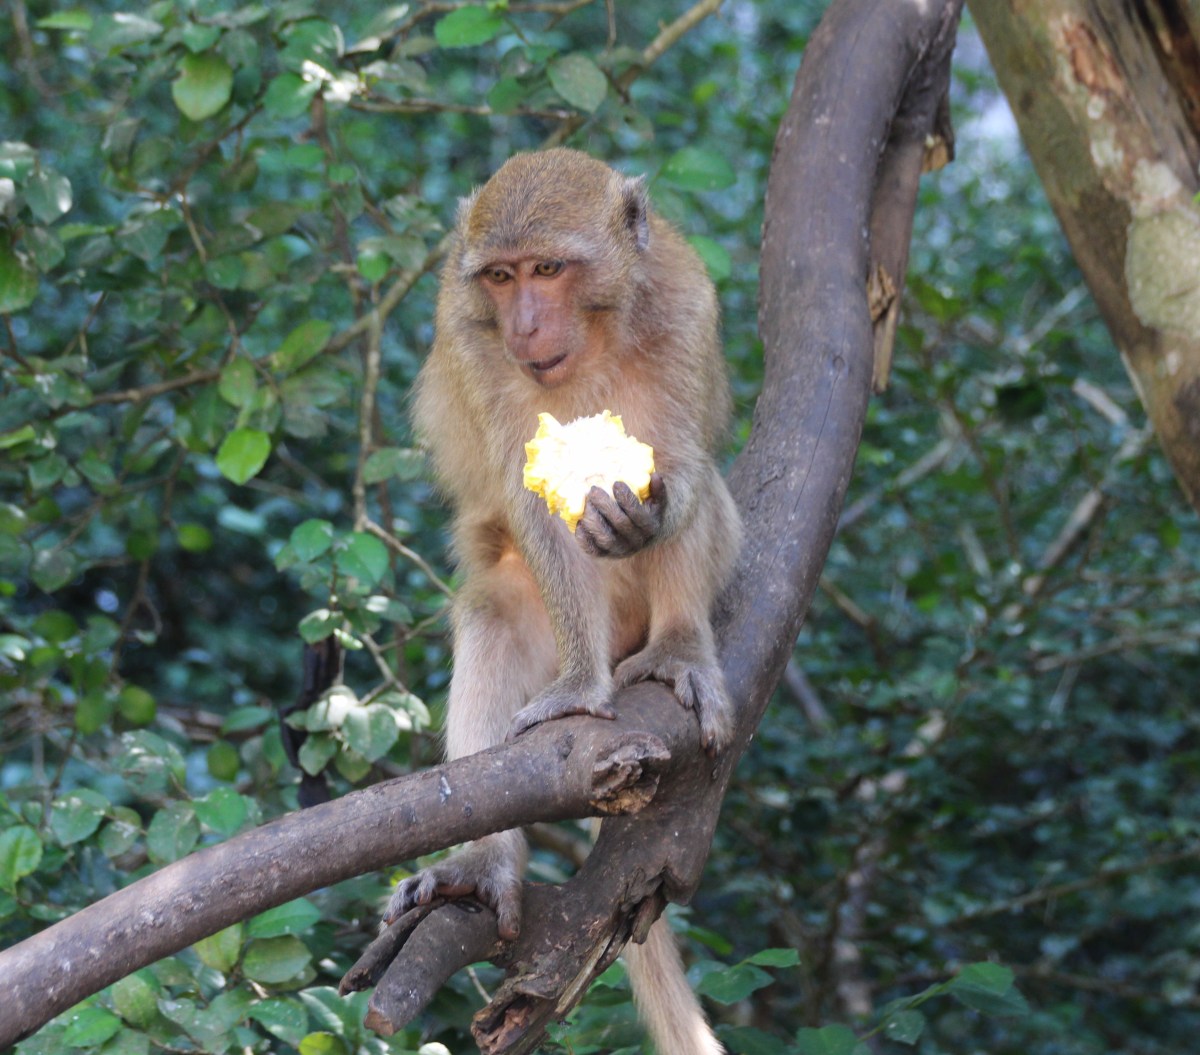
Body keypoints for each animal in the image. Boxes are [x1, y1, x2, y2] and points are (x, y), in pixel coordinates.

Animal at [387, 148, 740, 1055]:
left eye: (549, 270)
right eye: (502, 277)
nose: (524, 325)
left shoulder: (686, 306)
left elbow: (681, 456)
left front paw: (651, 508)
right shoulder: (472, 340)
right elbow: (534, 505)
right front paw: (581, 688)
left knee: (701, 503)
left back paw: (680, 644)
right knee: (497, 610)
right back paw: (485, 866)